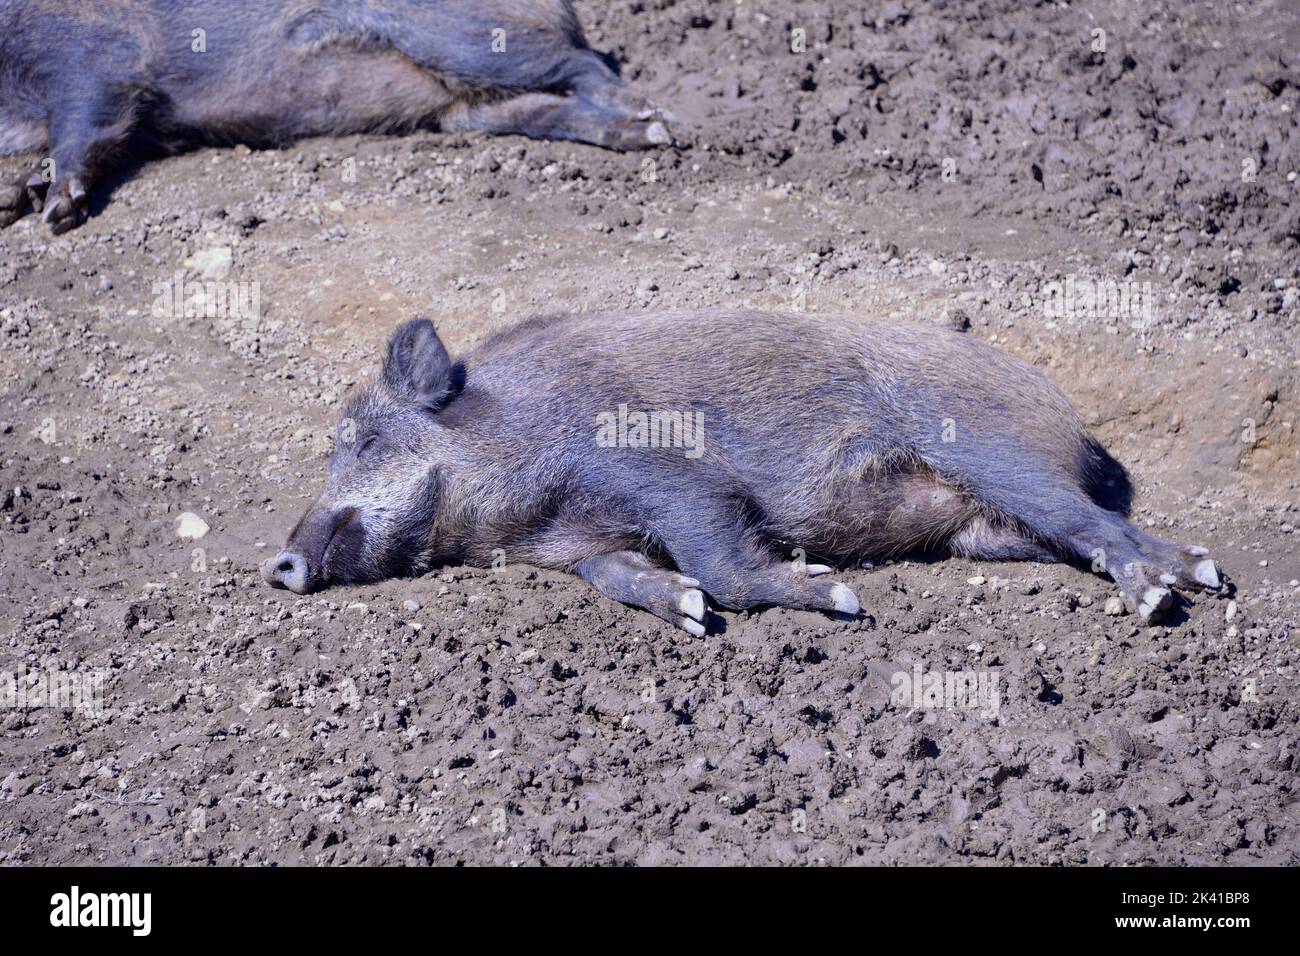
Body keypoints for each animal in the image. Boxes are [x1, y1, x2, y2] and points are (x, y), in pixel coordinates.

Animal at [0, 0, 673, 233]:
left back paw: (654, 120)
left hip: (476, 40)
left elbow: (87, 122)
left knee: (586, 61)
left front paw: (56, 215)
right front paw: (18, 199)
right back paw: (646, 133)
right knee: (543, 107)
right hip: (468, 106)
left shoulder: (95, 58)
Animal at [261, 310, 1223, 632]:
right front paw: (686, 613)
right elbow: (624, 575)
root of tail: (1073, 420)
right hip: (988, 532)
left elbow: (723, 557)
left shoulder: (671, 475)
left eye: (362, 440)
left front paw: (837, 594)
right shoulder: (587, 544)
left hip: (1001, 456)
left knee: (1108, 529)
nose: (277, 562)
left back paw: (1167, 595)